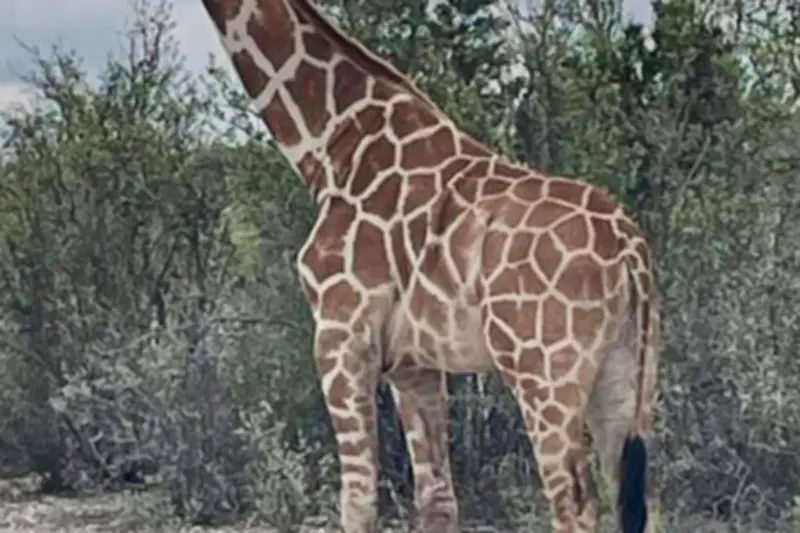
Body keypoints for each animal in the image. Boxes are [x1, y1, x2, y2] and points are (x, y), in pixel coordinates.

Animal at [200, 1, 660, 532]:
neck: (333, 146)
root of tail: (629, 248)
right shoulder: (412, 363)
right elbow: (437, 499)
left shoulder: (340, 336)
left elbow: (357, 501)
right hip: (626, 371)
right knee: (637, 497)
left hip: (544, 373)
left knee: (574, 501)